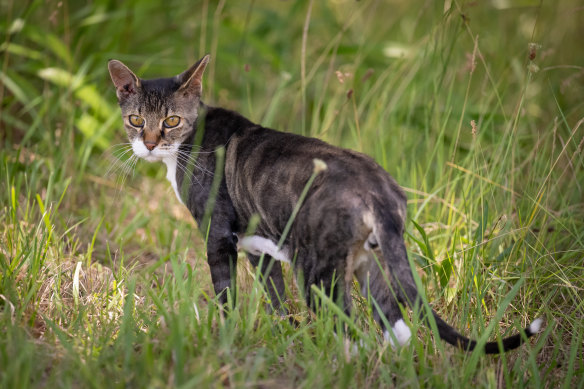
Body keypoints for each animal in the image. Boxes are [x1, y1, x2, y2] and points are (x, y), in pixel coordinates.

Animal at [108, 53, 544, 352]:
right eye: (135, 120)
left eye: (171, 121)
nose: (149, 144)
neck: (187, 143)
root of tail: (376, 188)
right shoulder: (258, 246)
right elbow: (276, 299)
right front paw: (282, 333)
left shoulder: (218, 237)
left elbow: (226, 297)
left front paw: (227, 339)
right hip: (370, 263)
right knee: (397, 331)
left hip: (318, 269)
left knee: (349, 332)